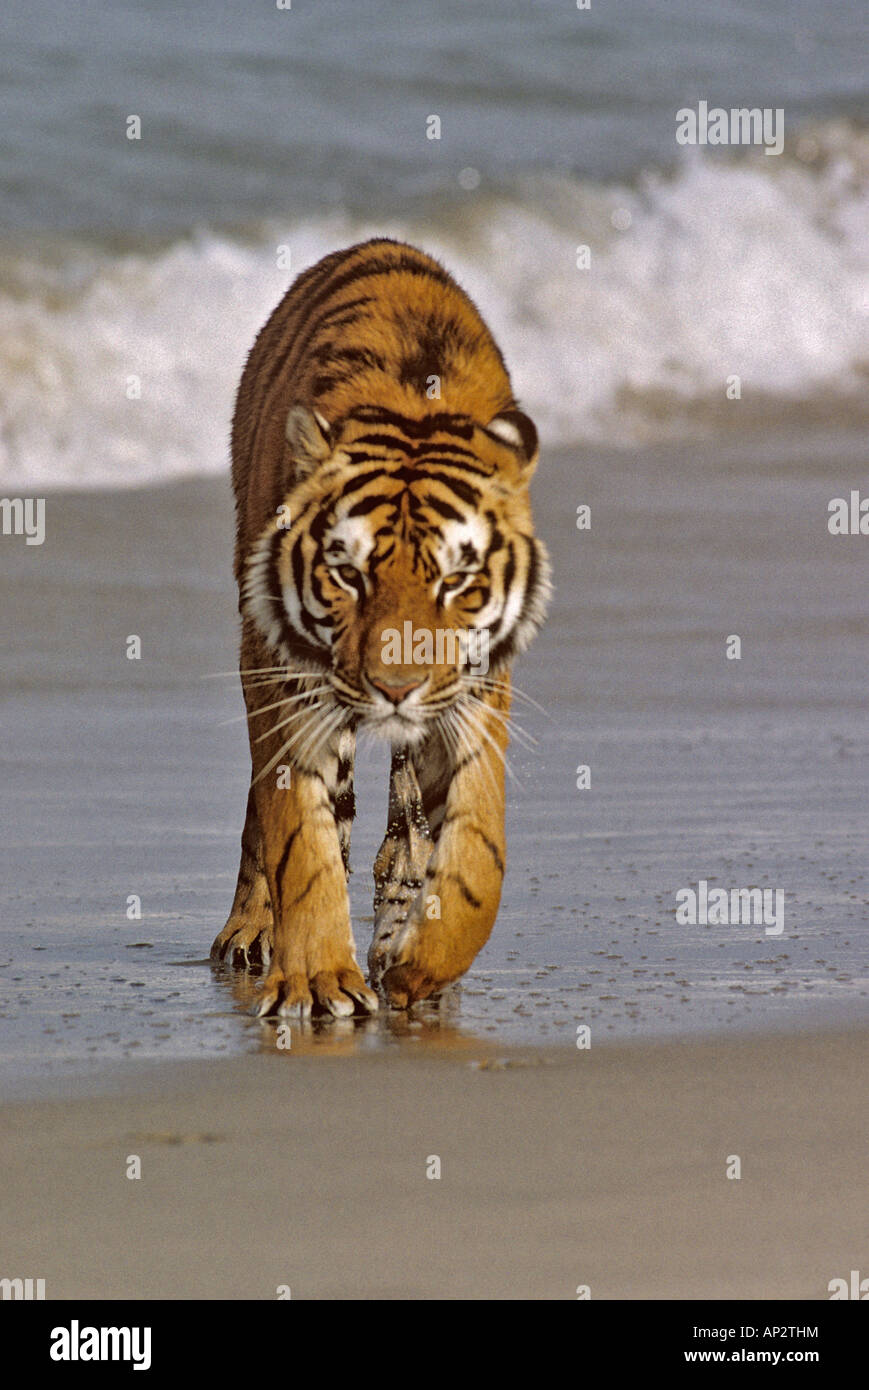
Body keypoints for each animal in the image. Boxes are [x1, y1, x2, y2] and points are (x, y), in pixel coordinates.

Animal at [210, 237, 551, 1017]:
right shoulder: (286, 671)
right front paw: (316, 977)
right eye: (347, 574)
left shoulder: (474, 687)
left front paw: (421, 964)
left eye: (454, 579)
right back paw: (250, 935)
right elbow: (298, 836)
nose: (395, 687)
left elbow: (477, 846)